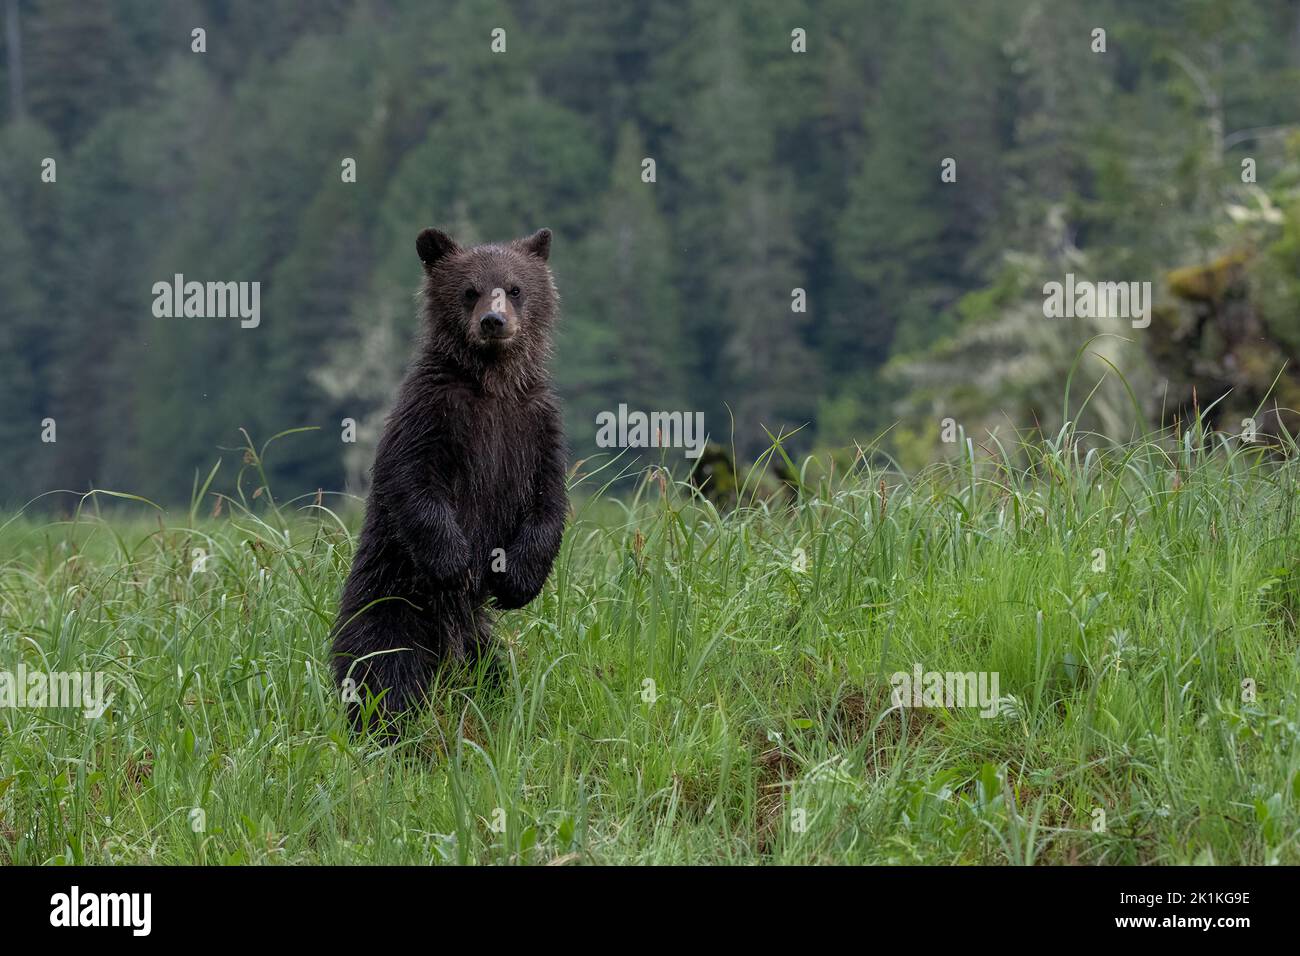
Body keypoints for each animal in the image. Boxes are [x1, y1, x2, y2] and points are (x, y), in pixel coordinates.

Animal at [327, 227, 566, 738]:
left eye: (515, 288)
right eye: (470, 290)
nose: (494, 321)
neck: (493, 384)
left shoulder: (536, 427)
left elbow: (548, 503)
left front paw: (517, 580)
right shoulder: (431, 415)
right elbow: (413, 483)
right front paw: (456, 563)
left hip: (477, 643)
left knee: (492, 673)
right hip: (391, 601)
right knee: (381, 670)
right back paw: (390, 729)